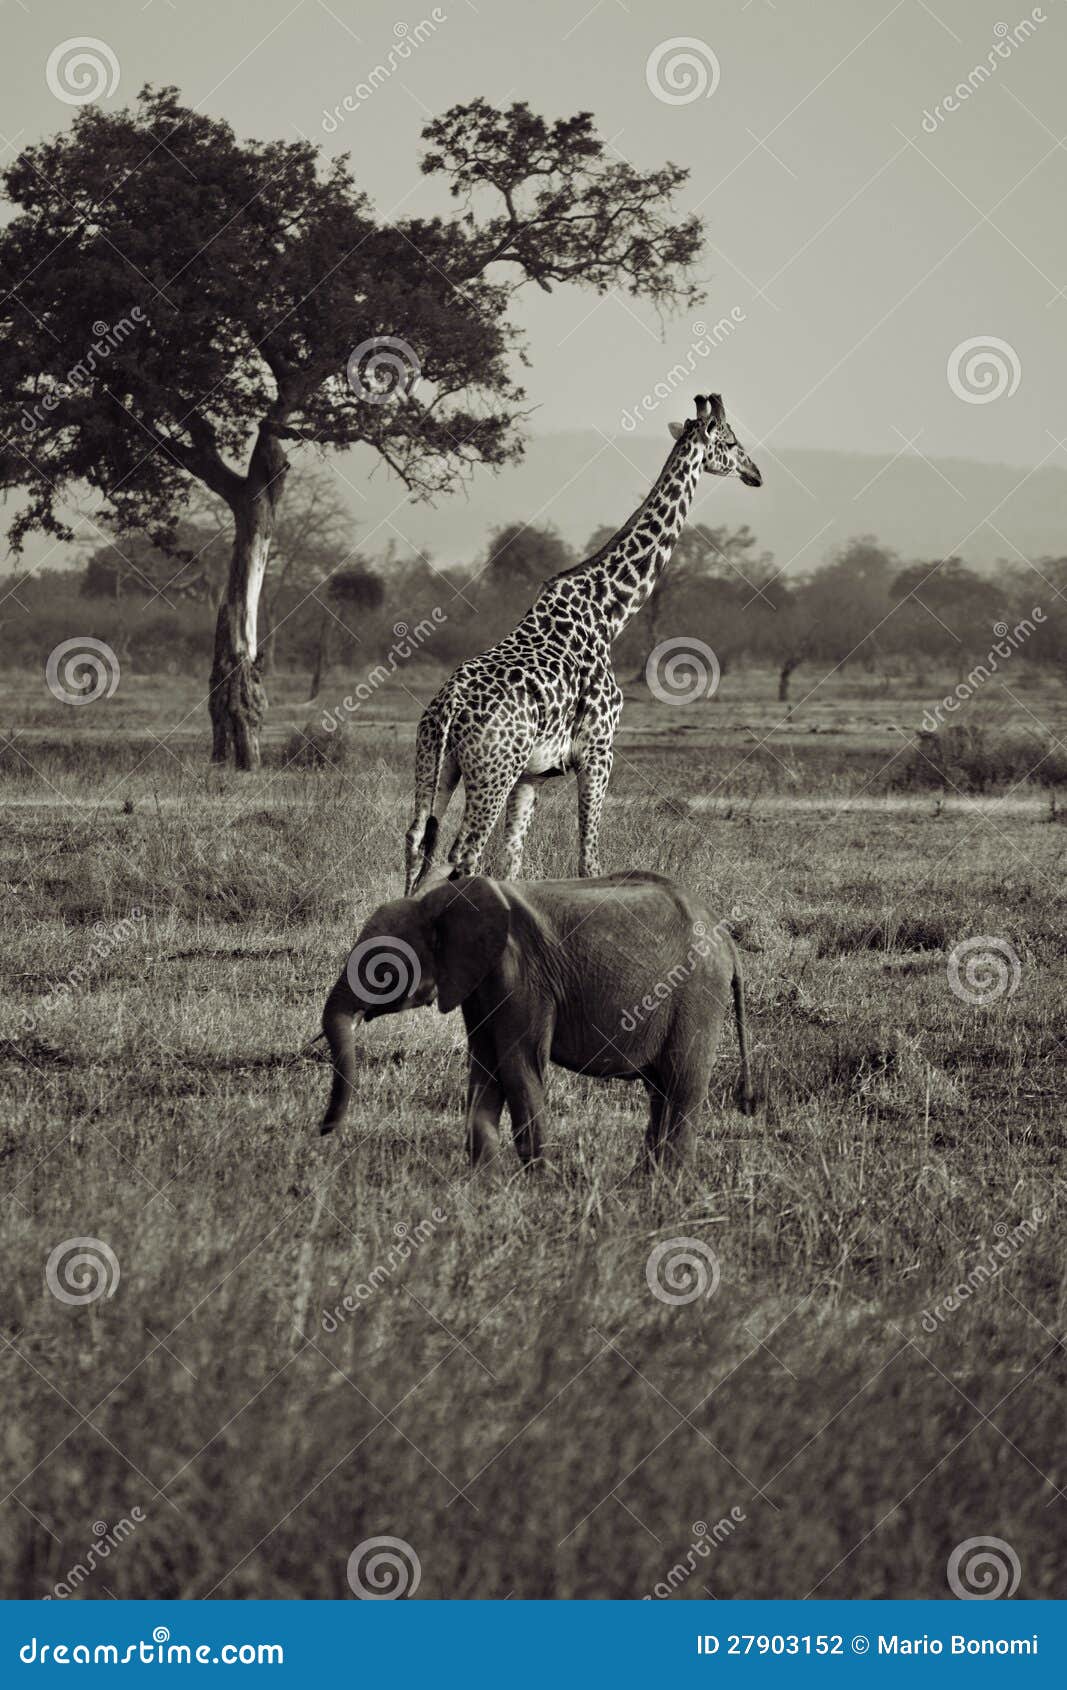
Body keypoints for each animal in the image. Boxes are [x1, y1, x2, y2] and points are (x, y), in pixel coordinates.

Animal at [319, 870, 754, 1170]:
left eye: (382, 970)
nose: (324, 1136)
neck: (445, 900)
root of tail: (727, 939)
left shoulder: (522, 978)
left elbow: (517, 1064)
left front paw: (539, 1179)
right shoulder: (480, 980)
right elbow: (485, 1064)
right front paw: (485, 1179)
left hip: (697, 994)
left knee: (681, 1081)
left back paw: (668, 1183)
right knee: (661, 1089)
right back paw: (645, 1181)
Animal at [404, 394, 762, 894]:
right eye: (729, 441)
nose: (755, 473)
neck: (609, 614)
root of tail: (450, 707)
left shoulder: (532, 776)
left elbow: (512, 862)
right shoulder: (598, 751)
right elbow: (588, 863)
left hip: (436, 764)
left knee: (418, 842)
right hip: (493, 771)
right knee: (462, 856)